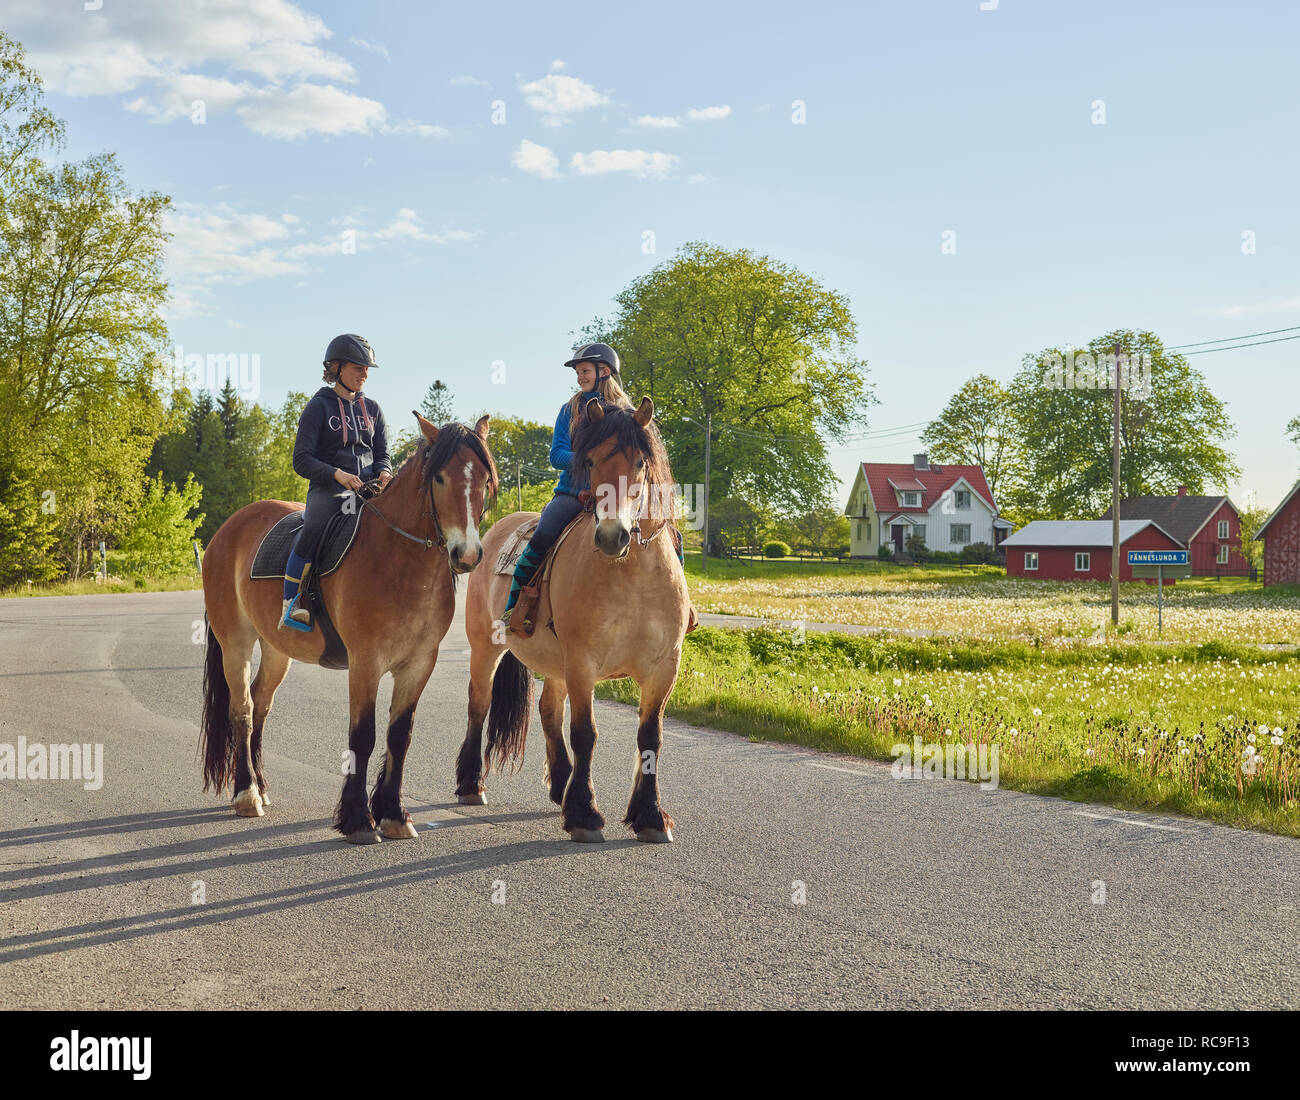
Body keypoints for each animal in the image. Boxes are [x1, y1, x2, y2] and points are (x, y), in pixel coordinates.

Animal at [199, 413, 497, 844]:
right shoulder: (365, 663)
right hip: (235, 643)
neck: (399, 560)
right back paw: (246, 794)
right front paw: (358, 820)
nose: (468, 554)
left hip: (277, 651)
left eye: (485, 480)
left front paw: (394, 814)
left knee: (260, 703)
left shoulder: (419, 664)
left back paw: (261, 785)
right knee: (243, 710)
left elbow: (399, 735)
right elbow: (364, 736)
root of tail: (227, 529)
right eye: (439, 478)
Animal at [455, 396, 691, 843]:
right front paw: (584, 813)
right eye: (592, 459)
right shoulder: (583, 662)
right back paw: (470, 783)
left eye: (639, 462)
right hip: (486, 647)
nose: (613, 536)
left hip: (555, 663)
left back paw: (560, 784)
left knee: (548, 709)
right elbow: (585, 733)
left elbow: (650, 737)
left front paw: (650, 815)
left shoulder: (664, 667)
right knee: (479, 704)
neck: (630, 574)